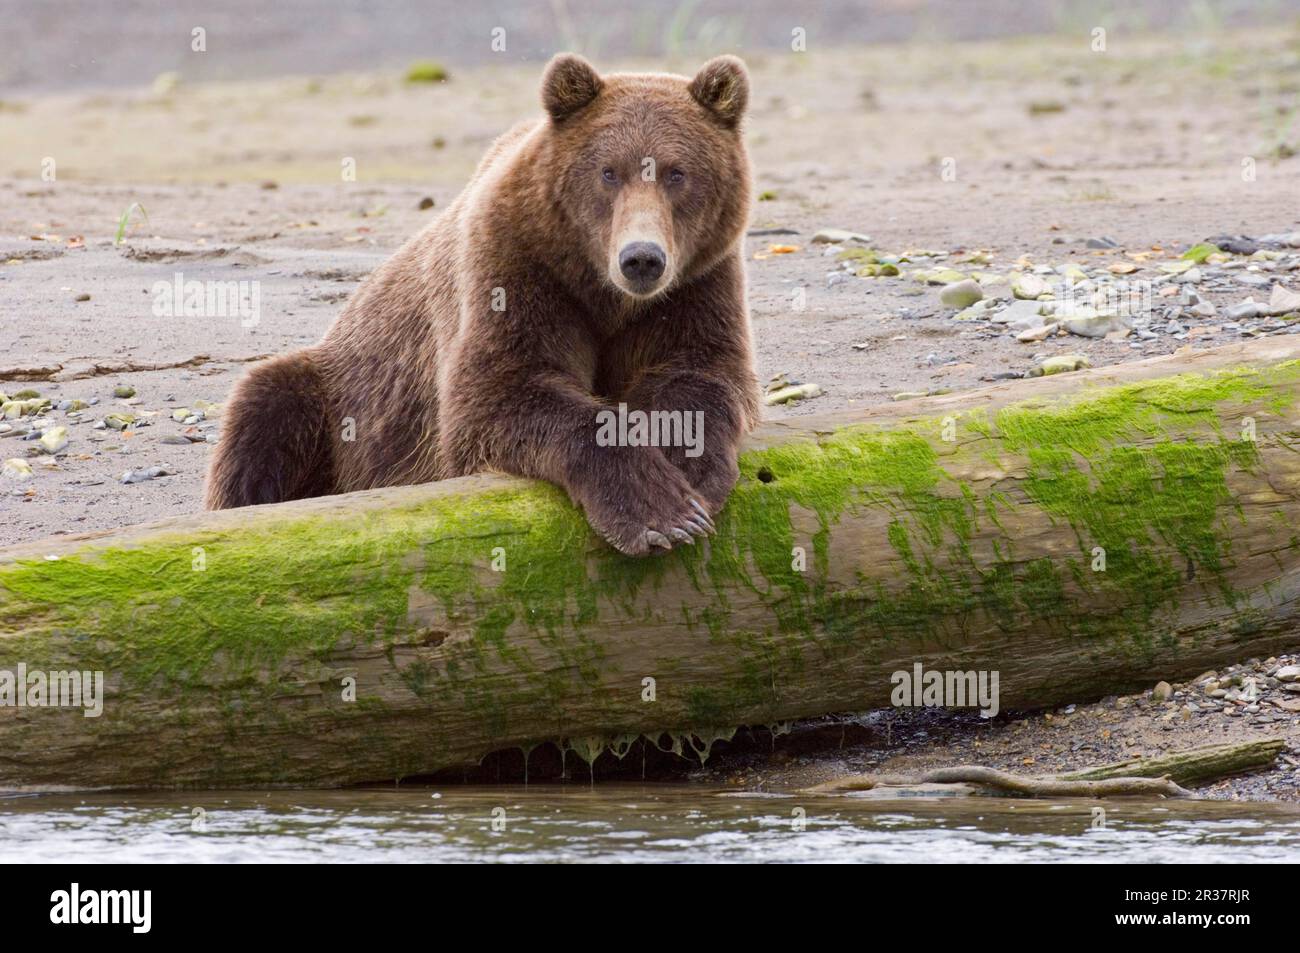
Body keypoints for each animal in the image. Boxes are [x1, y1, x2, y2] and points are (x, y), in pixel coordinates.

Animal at [205, 53, 761, 556]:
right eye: (609, 173)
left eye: (676, 173)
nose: (641, 258)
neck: (602, 292)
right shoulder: (514, 269)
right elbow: (501, 391)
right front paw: (658, 512)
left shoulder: (696, 283)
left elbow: (698, 371)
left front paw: (686, 464)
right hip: (342, 400)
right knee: (266, 409)